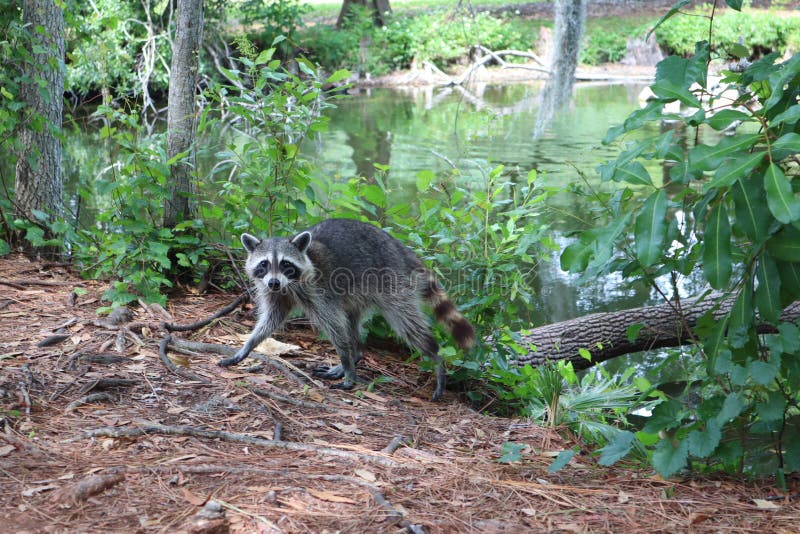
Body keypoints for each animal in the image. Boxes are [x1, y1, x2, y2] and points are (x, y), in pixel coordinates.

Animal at [218, 218, 475, 401]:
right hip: (358, 293)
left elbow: (334, 326)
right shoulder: (276, 293)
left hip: (393, 283)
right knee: (352, 320)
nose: (273, 282)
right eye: (264, 264)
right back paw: (355, 354)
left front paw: (348, 367)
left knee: (406, 324)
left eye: (285, 265)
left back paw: (436, 358)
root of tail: (402, 249)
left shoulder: (320, 289)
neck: (289, 284)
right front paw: (248, 345)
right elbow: (271, 320)